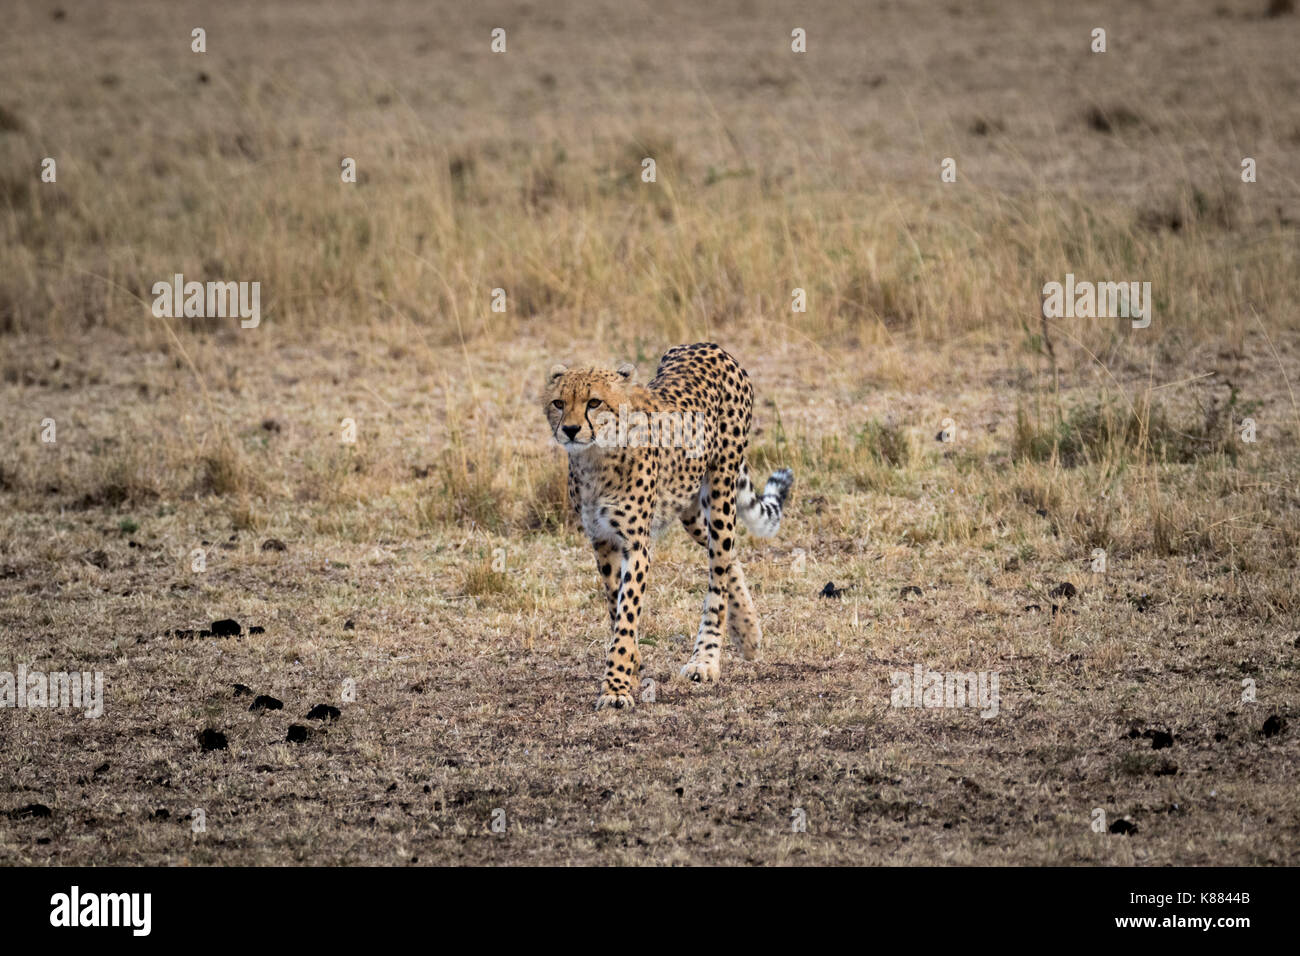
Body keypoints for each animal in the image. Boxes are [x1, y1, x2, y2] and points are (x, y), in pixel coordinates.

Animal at [543, 342, 793, 710]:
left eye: (594, 402)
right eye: (559, 403)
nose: (570, 430)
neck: (597, 459)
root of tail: (708, 345)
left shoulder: (636, 545)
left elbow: (626, 613)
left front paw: (616, 688)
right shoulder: (602, 542)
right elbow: (615, 607)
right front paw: (631, 670)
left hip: (720, 492)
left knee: (718, 573)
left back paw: (705, 660)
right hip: (689, 509)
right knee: (730, 558)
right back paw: (748, 633)